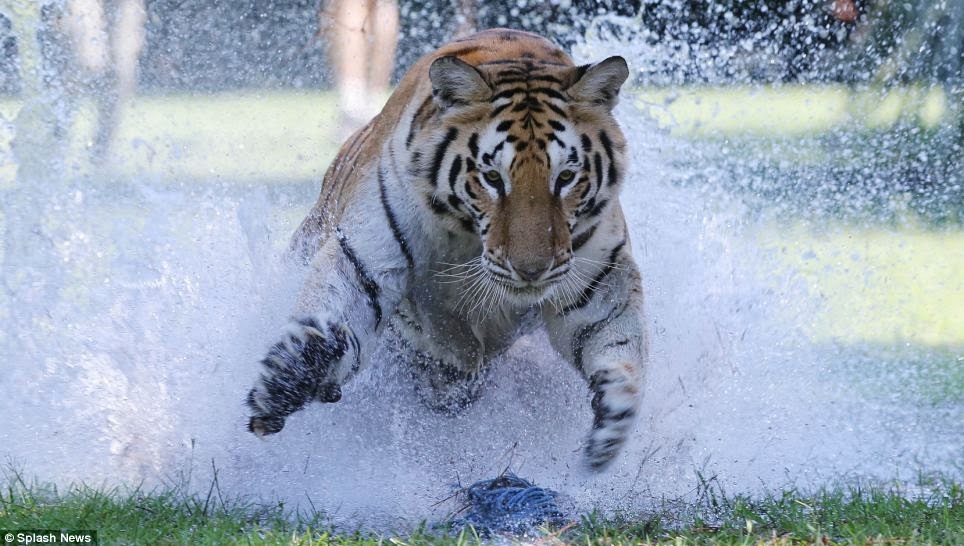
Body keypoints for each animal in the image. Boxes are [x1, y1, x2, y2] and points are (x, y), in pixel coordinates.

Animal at [245, 28, 647, 471]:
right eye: (492, 178)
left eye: (566, 177)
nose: (531, 270)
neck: (469, 237)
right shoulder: (366, 260)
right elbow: (334, 315)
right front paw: (283, 386)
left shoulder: (599, 281)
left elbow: (618, 343)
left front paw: (611, 426)